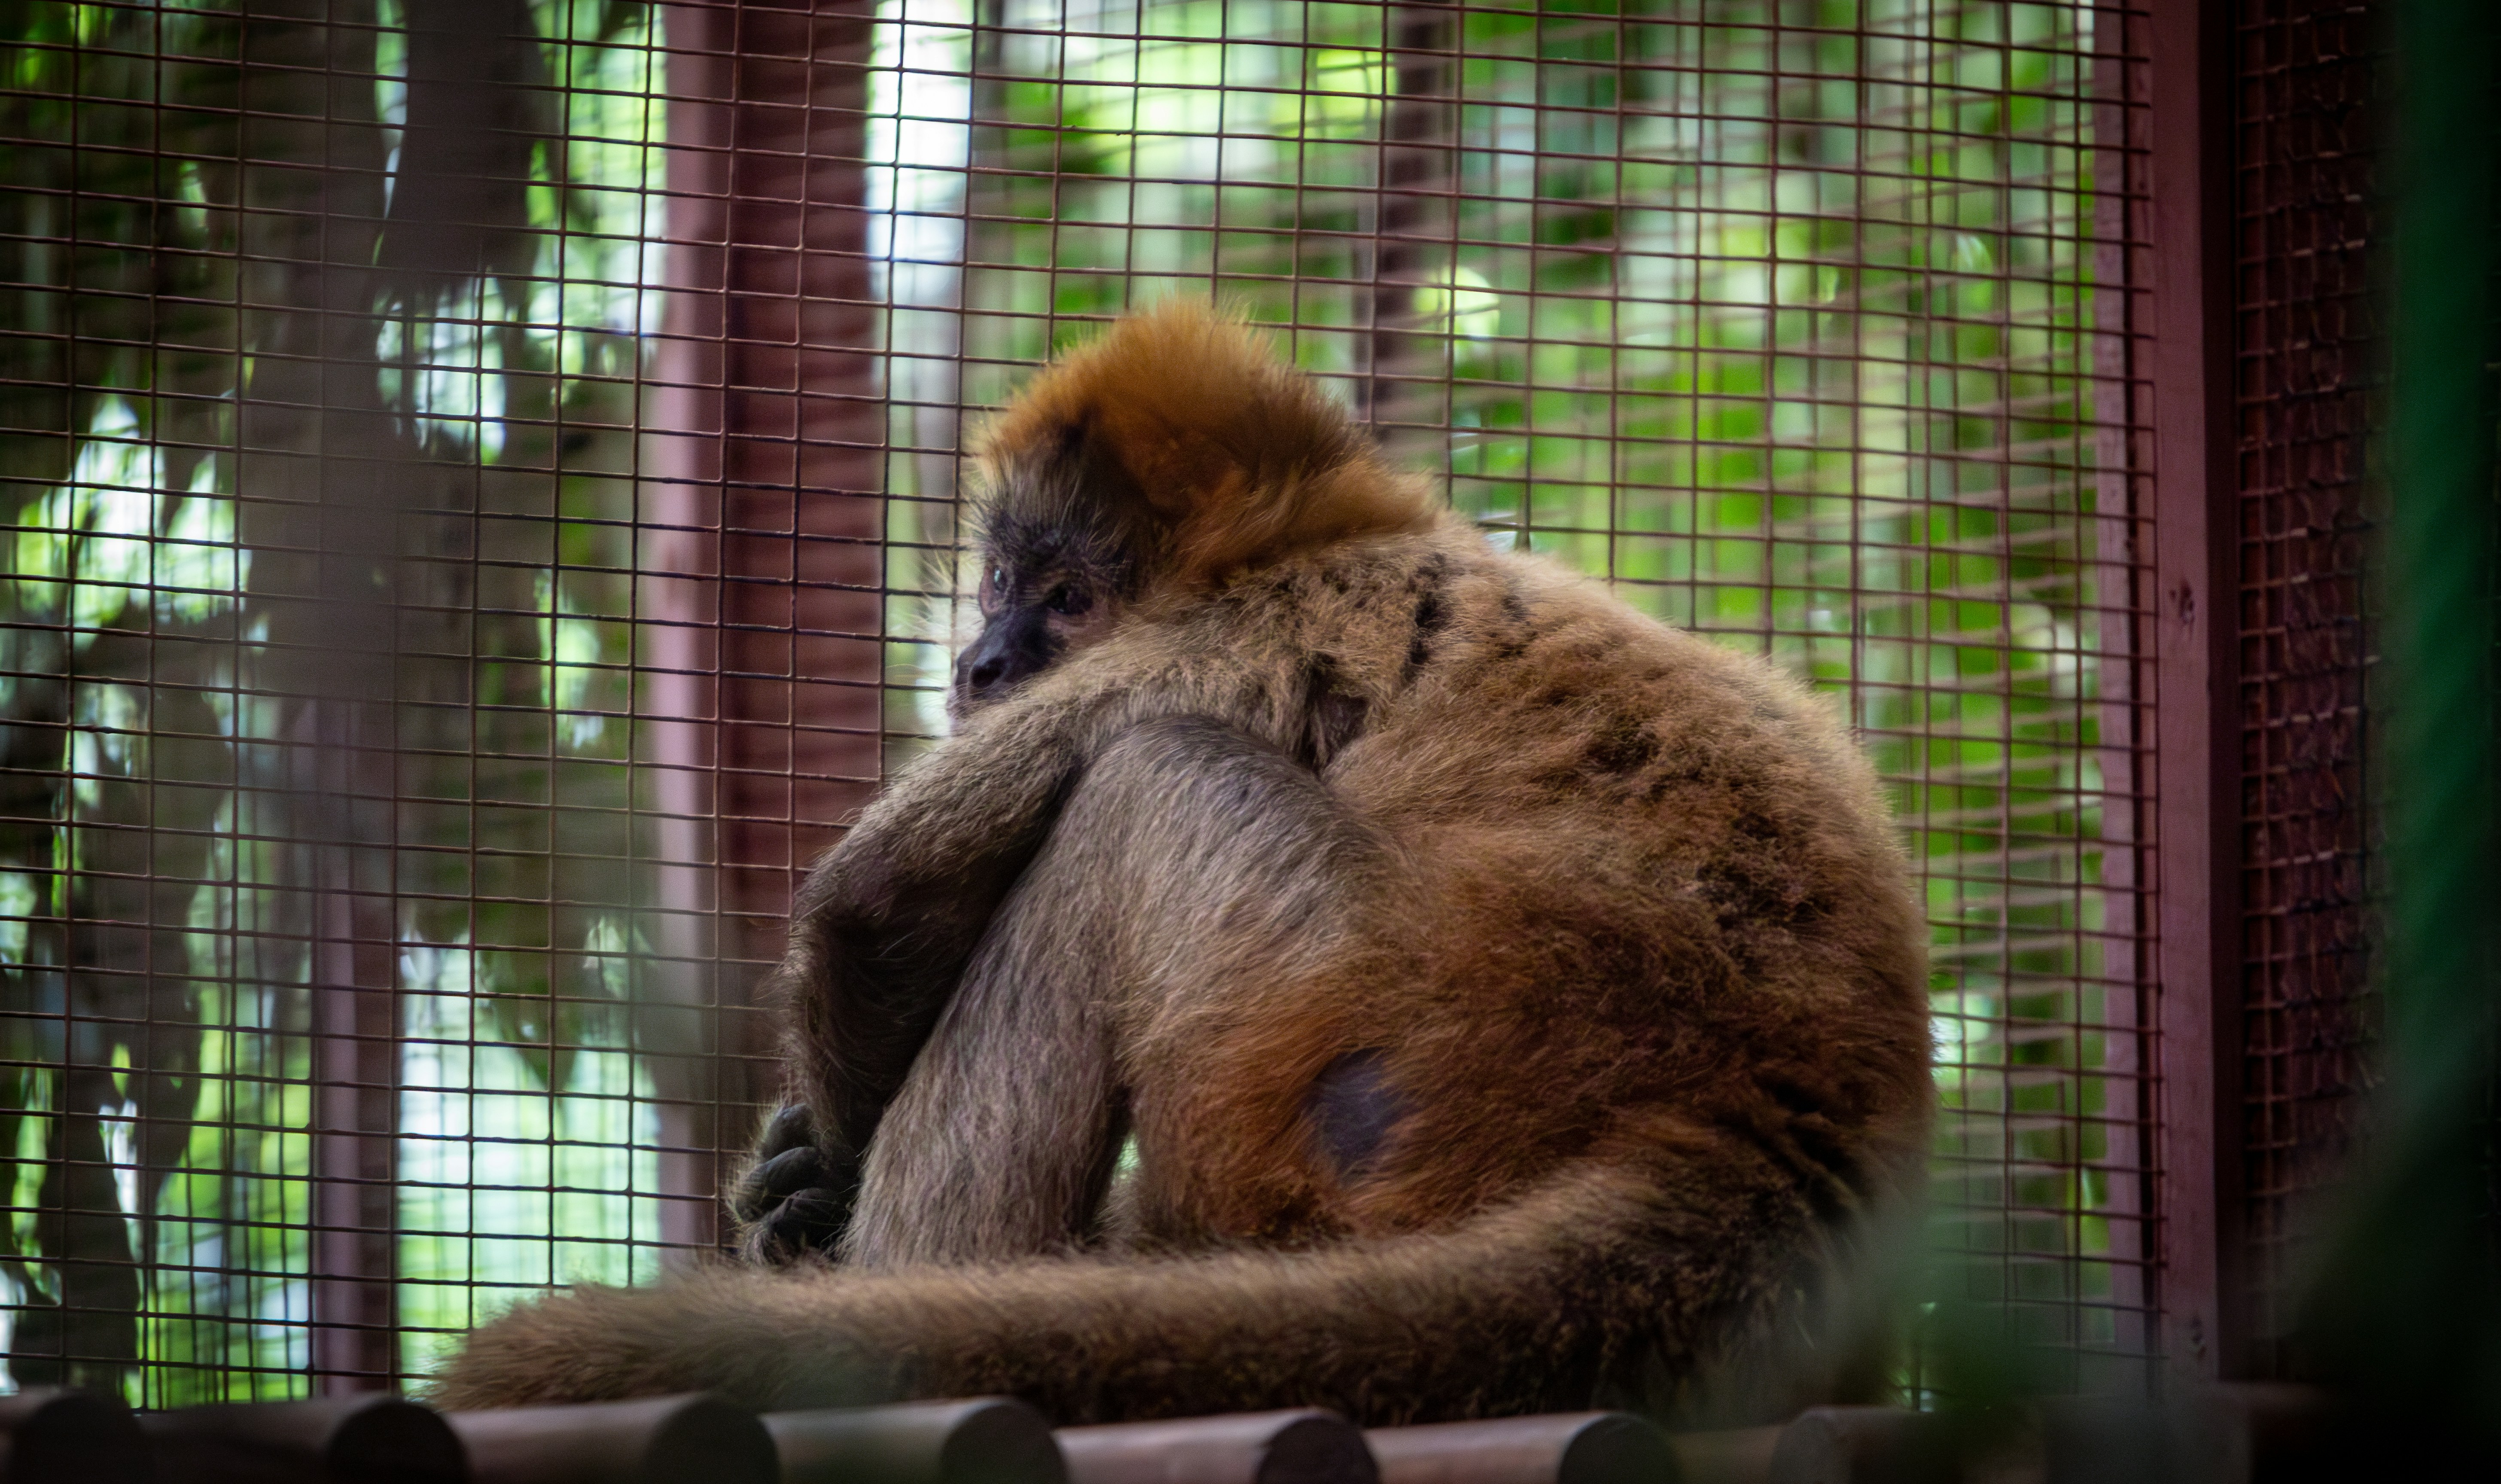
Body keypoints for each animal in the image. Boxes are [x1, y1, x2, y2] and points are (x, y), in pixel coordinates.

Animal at [429, 300, 1932, 1426]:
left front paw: (822, 1198)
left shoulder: (1239, 623)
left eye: (1066, 598)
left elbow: (880, 894)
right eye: (997, 581)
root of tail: (1776, 1108)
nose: (982, 662)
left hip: (1353, 1026)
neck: (1340, 532)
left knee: (1137, 784)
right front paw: (793, 1189)